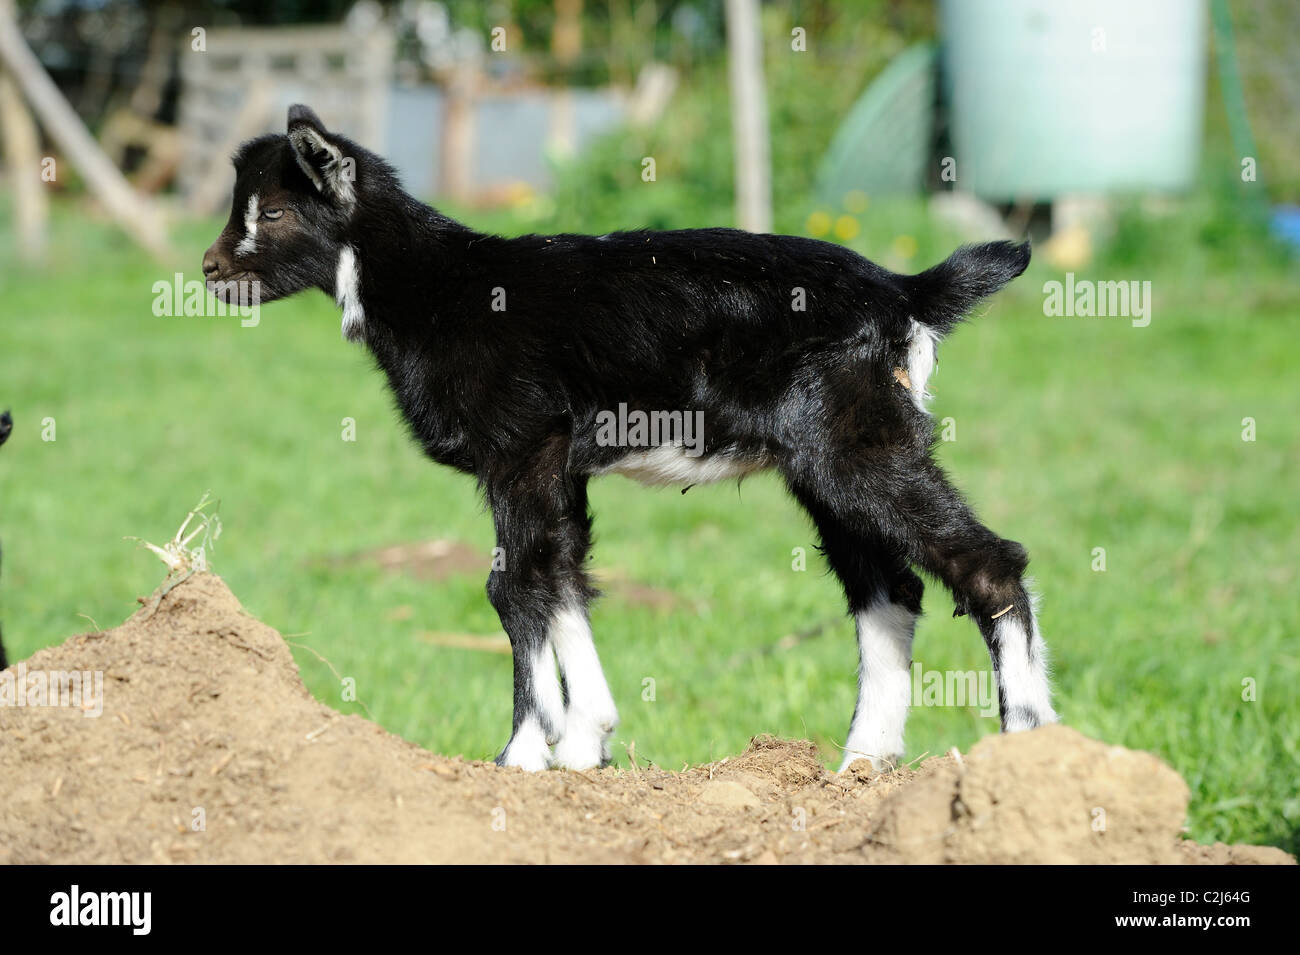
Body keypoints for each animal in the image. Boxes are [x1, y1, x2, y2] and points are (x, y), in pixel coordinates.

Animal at [203, 105, 1057, 771]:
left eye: (273, 212)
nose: (211, 269)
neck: (439, 290)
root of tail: (908, 292)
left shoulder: (522, 446)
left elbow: (514, 586)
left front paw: (523, 751)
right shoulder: (557, 463)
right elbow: (564, 576)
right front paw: (587, 741)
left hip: (859, 443)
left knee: (988, 562)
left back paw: (1026, 742)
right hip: (824, 460)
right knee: (887, 590)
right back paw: (863, 759)